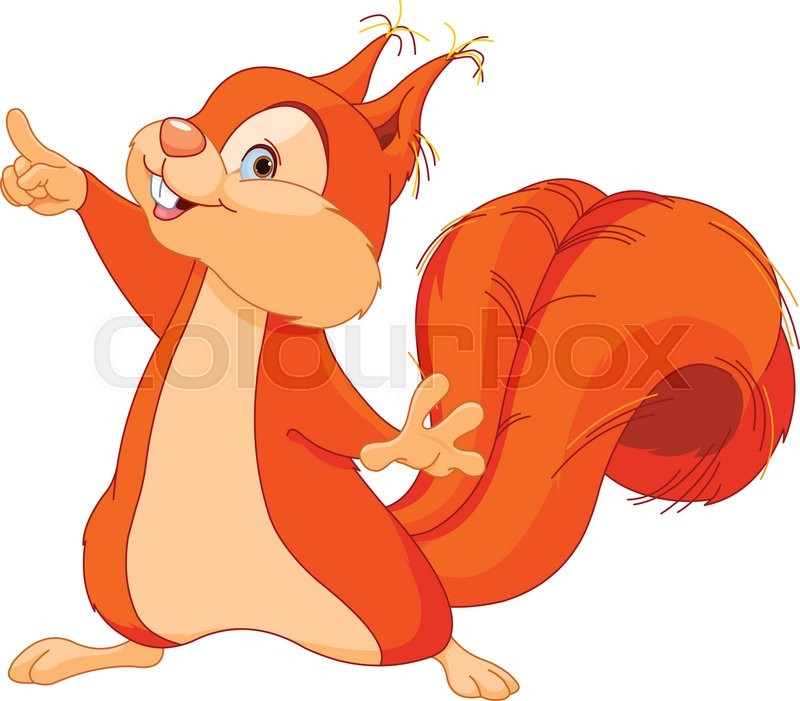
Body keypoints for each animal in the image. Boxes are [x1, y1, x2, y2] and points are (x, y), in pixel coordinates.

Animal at [1, 19, 795, 701]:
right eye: (207, 105)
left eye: (261, 162)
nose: (172, 132)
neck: (240, 306)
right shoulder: (174, 296)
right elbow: (143, 268)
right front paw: (55, 179)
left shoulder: (303, 380)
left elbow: (352, 427)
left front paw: (423, 442)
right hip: (115, 563)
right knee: (147, 650)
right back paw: (76, 653)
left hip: (383, 590)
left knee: (427, 632)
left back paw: (467, 664)